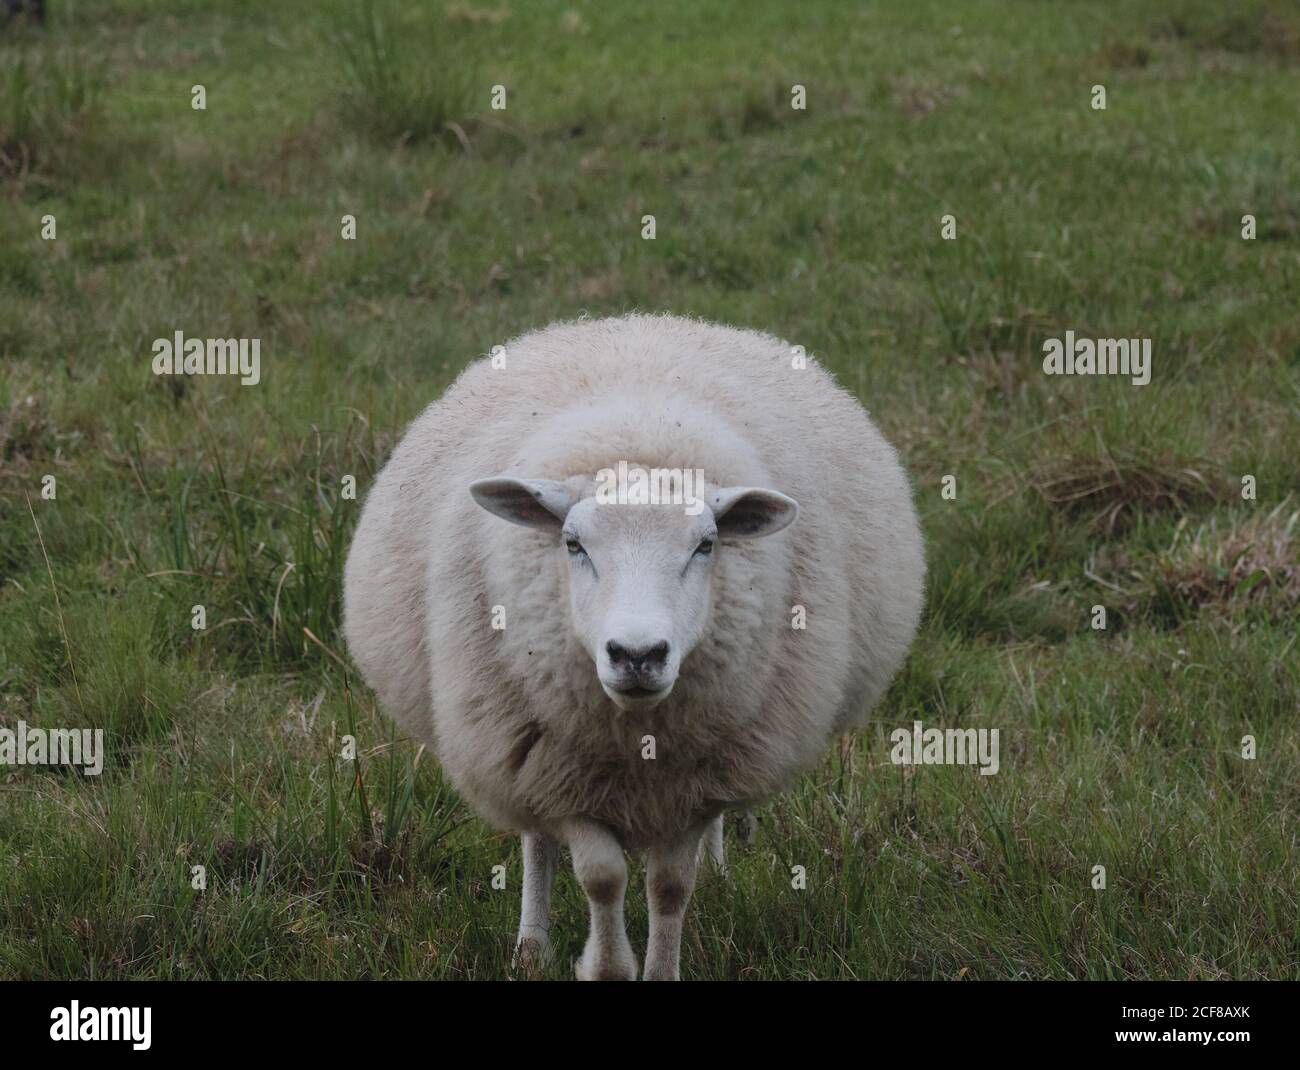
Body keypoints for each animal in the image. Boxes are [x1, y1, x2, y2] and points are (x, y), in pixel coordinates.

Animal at [343, 313, 925, 980]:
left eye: (706, 545)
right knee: (536, 839)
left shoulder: (696, 781)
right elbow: (602, 877)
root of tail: (637, 321)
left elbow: (670, 885)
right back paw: (531, 945)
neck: (637, 733)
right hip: (517, 736)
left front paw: (662, 965)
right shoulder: (562, 773)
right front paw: (606, 967)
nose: (638, 655)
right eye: (573, 543)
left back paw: (718, 874)